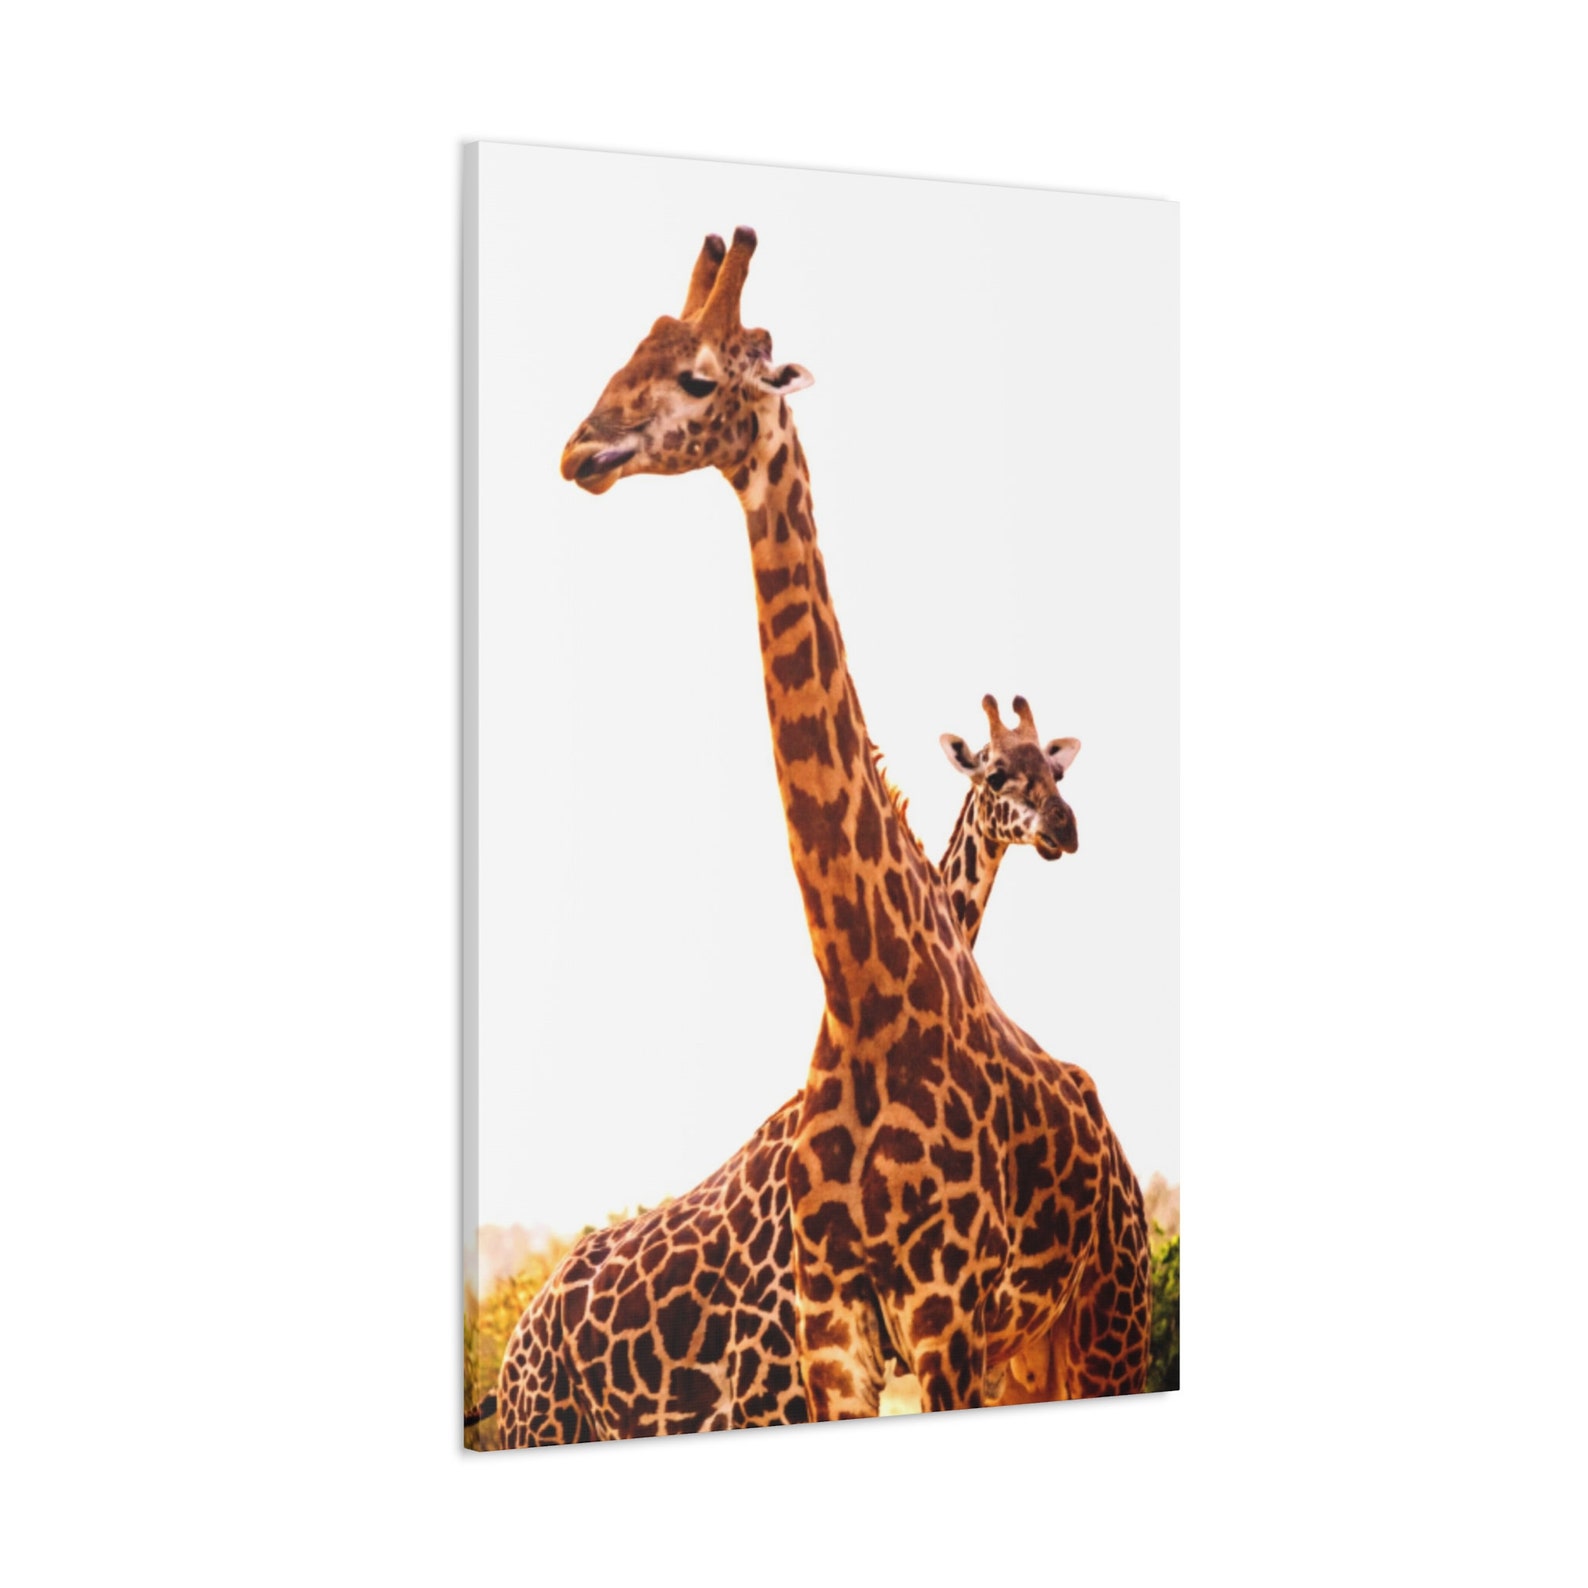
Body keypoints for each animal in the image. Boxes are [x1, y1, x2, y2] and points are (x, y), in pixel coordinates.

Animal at [472, 702, 1084, 1445]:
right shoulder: (780, 1380)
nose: (1063, 827)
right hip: (547, 1425)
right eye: (996, 773)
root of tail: (508, 1367)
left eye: (1055, 770)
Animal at [558, 227, 1150, 1417]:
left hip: (1104, 1320)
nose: (579, 449)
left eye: (701, 377)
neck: (868, 992)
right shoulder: (830, 1336)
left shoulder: (945, 1318)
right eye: (633, 350)